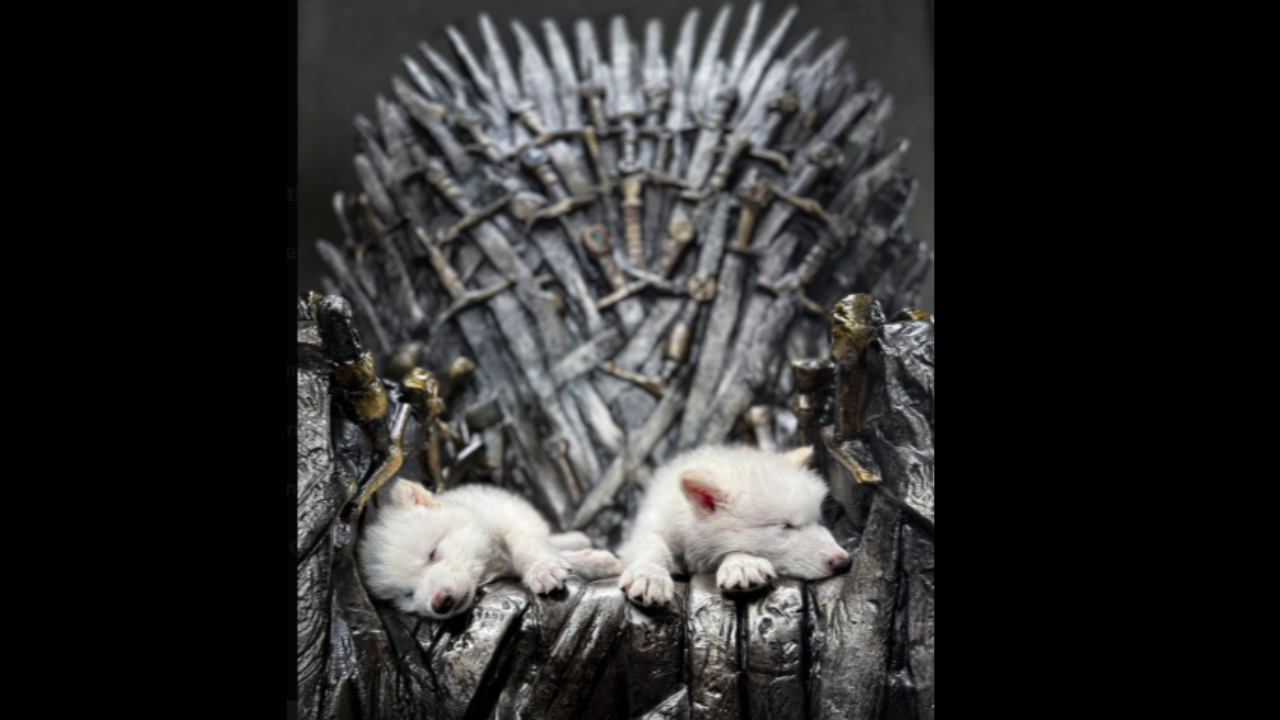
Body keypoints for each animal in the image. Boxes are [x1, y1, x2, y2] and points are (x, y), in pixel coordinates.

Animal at [359, 479, 623, 619]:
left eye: (432, 553)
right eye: (407, 595)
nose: (440, 602)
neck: (489, 562)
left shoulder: (512, 517)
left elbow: (526, 547)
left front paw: (542, 569)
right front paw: (592, 563)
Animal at [618, 445, 853, 607]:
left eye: (818, 520)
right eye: (785, 525)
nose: (844, 562)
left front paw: (742, 564)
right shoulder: (653, 526)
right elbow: (653, 546)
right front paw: (649, 575)